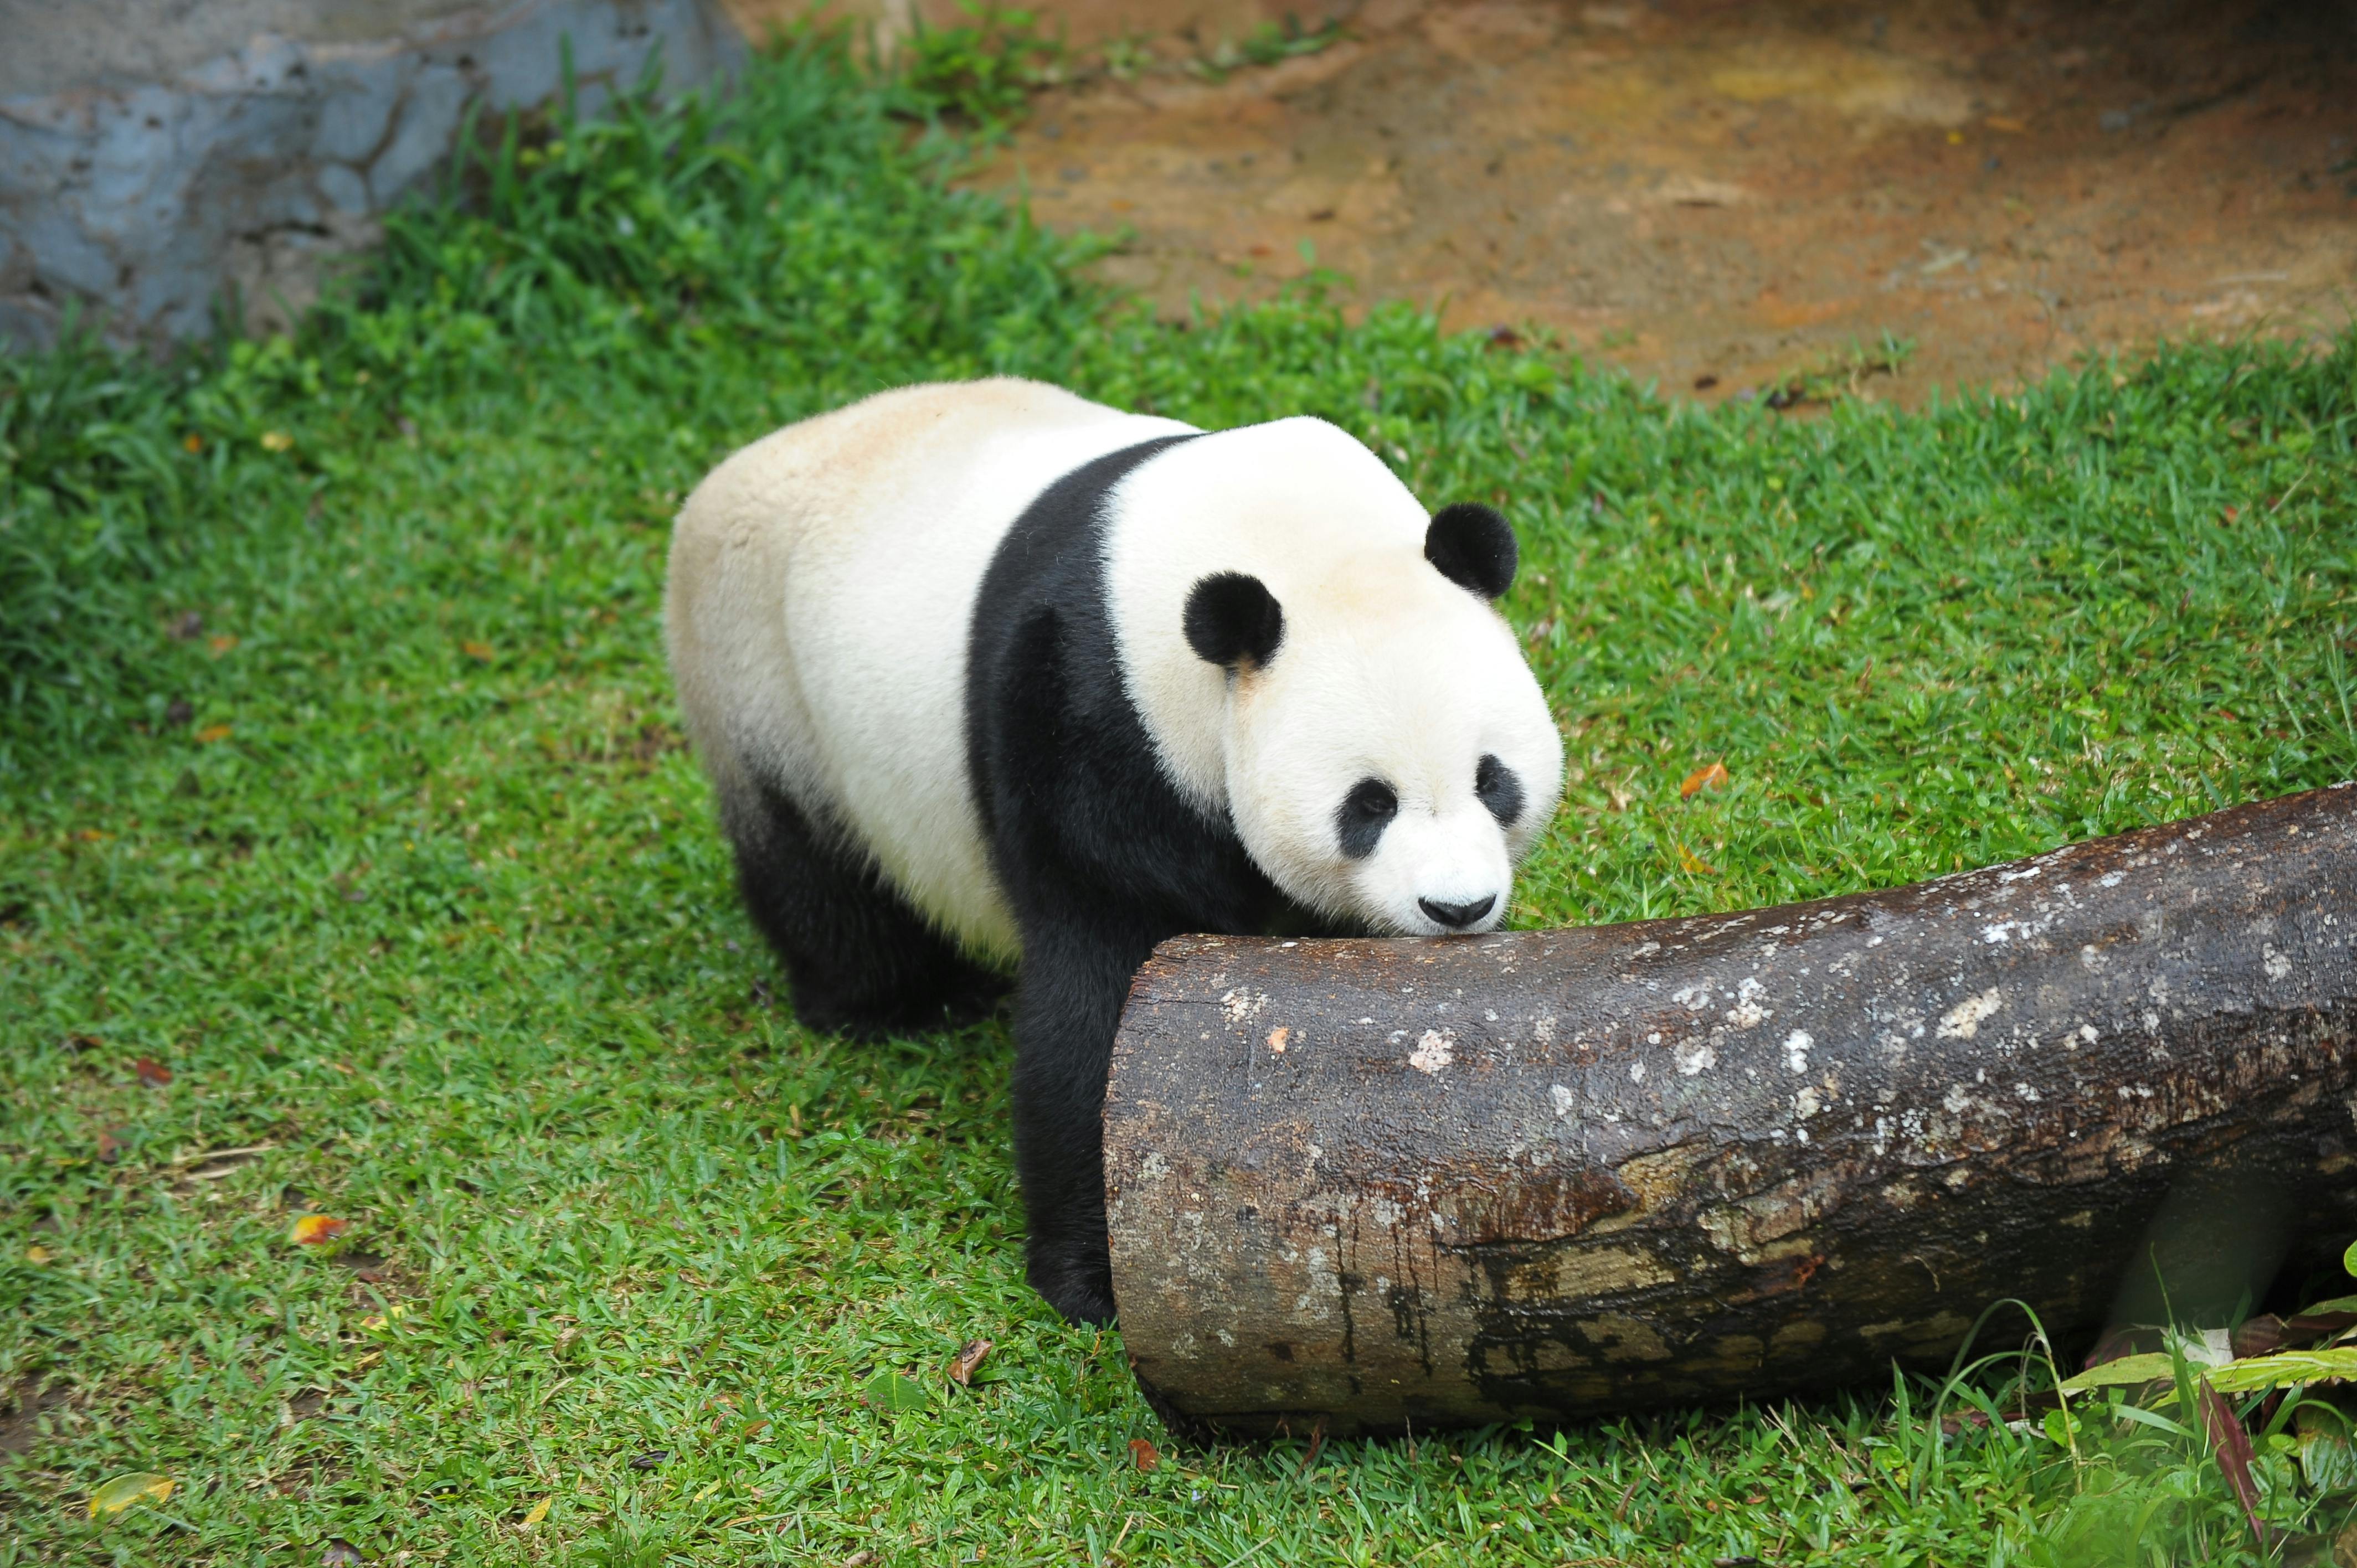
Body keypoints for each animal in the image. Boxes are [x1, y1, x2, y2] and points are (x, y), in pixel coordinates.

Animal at [665, 378, 1563, 1325]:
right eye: (1369, 805)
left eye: (1493, 781)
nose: (1457, 908)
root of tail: (728, 474)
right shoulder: (1080, 706)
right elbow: (1098, 986)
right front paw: (1097, 1272)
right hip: (762, 686)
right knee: (820, 881)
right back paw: (899, 1001)